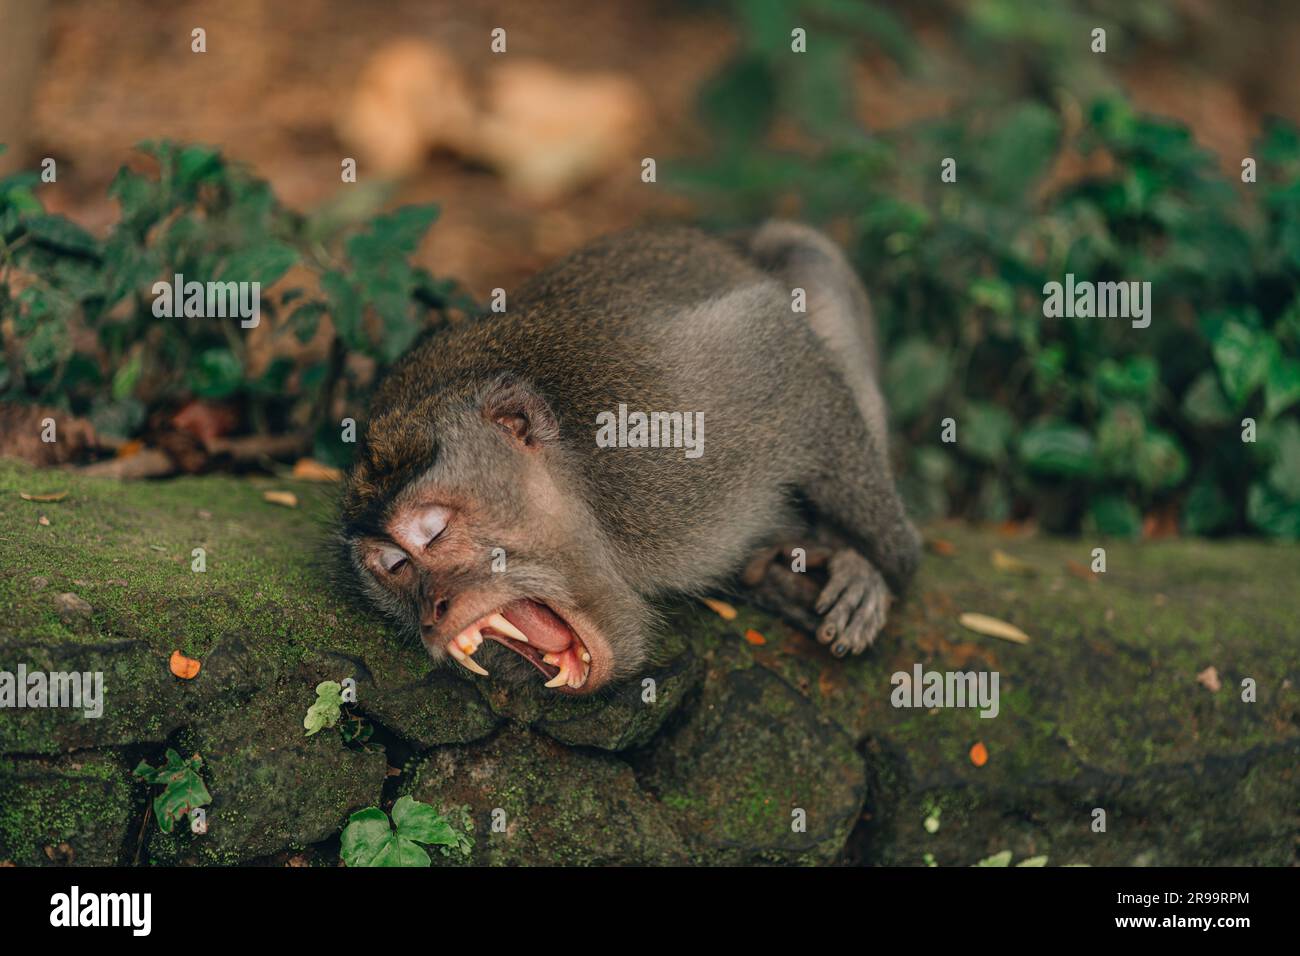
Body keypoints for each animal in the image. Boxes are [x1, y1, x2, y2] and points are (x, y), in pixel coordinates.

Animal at [339, 220, 921, 694]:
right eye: (395, 567)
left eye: (434, 531)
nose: (432, 610)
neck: (593, 507)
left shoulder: (659, 446)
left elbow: (776, 340)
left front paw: (883, 566)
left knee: (805, 253)